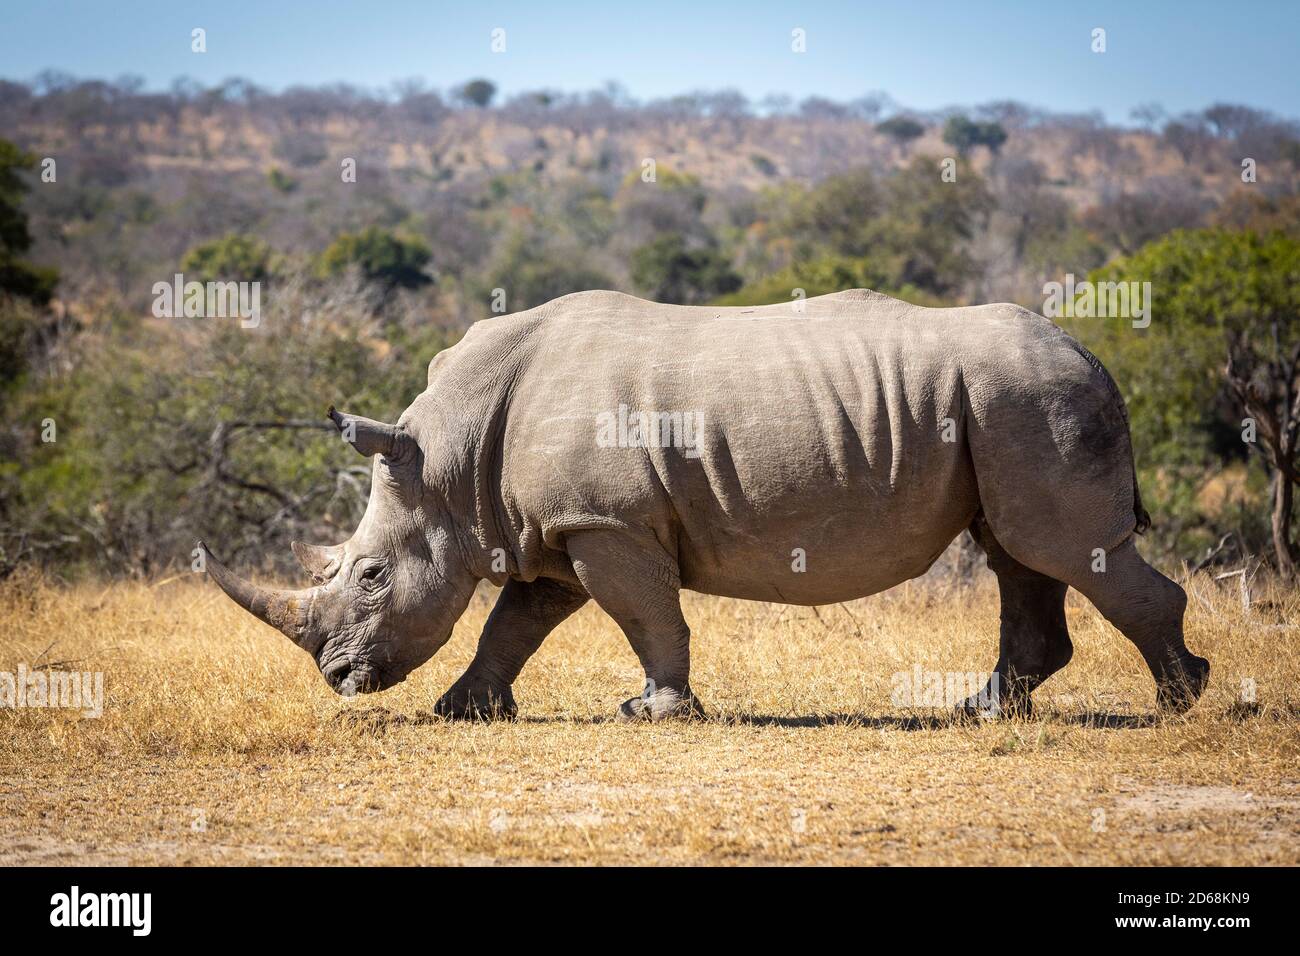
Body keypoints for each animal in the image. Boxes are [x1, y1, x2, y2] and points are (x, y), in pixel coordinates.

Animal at [200, 289, 1210, 719]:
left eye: (371, 574)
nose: (338, 677)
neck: (449, 457)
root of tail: (1091, 351)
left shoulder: (603, 522)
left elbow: (645, 616)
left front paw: (653, 712)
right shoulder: (563, 525)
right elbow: (514, 623)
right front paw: (464, 710)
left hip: (1033, 399)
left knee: (1063, 550)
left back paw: (1180, 702)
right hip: (1006, 405)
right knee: (1019, 555)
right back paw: (983, 710)